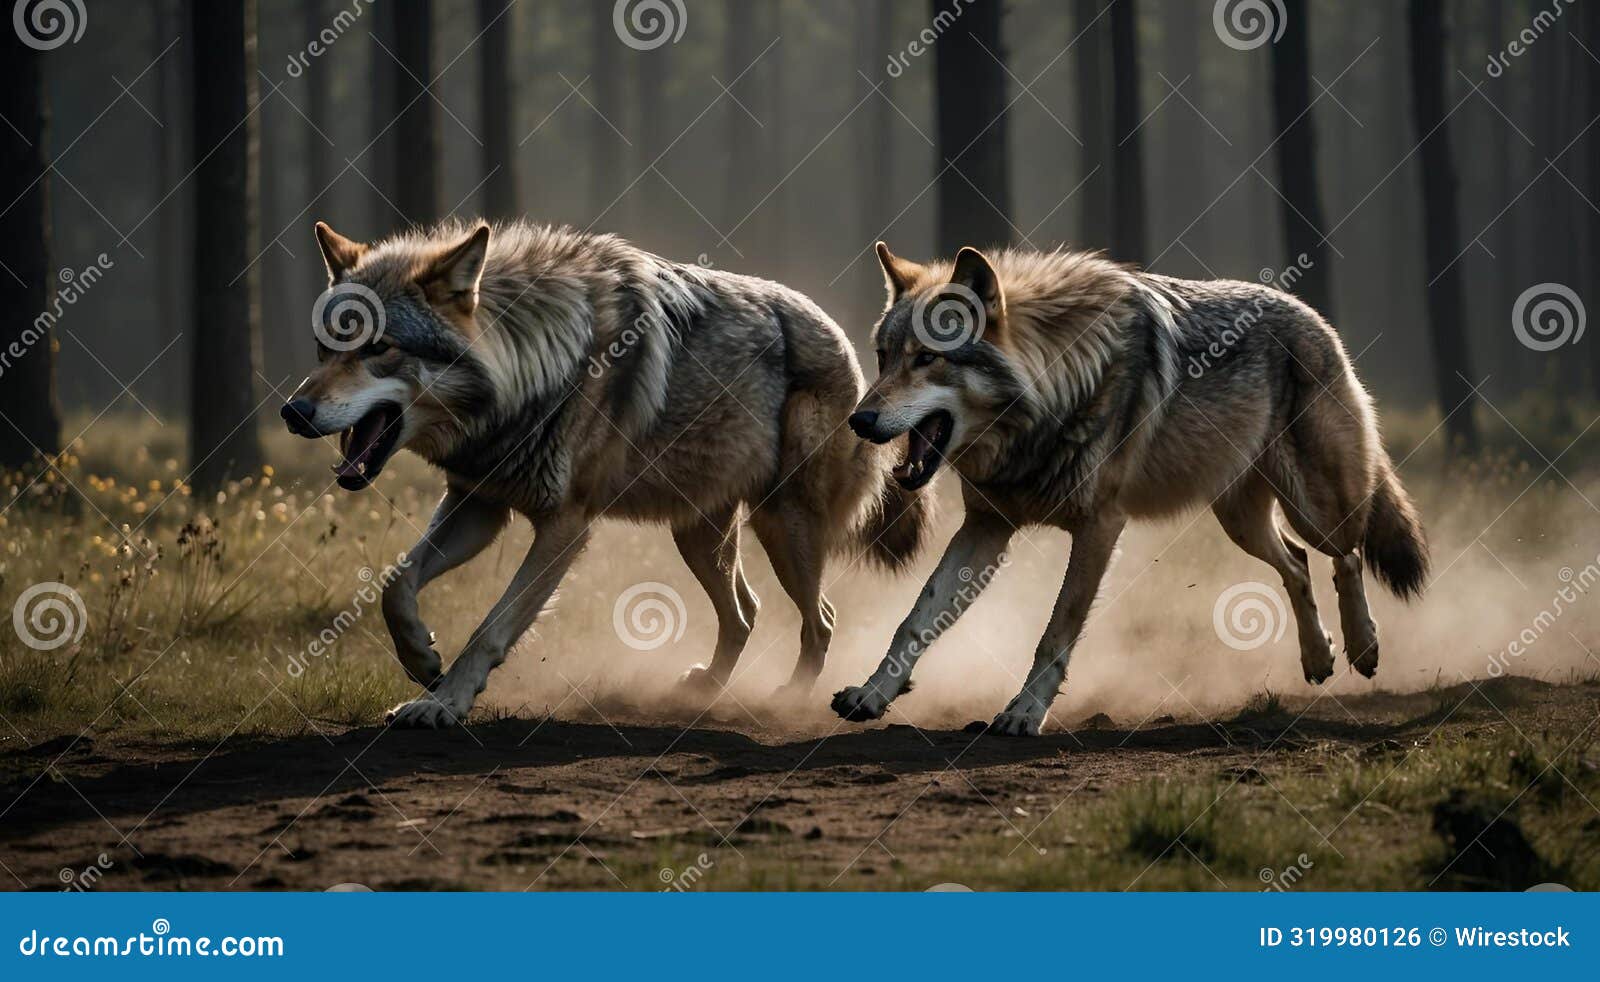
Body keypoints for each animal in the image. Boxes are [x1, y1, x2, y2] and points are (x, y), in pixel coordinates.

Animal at [281, 220, 930, 727]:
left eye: (379, 348)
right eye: (322, 348)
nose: (293, 411)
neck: (535, 365)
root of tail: (851, 344)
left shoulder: (565, 526)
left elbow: (491, 627)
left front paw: (444, 704)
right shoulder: (478, 506)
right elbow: (396, 585)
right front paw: (421, 661)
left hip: (782, 529)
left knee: (821, 621)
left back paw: (786, 700)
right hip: (698, 536)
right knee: (746, 613)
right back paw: (703, 689)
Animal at [833, 242, 1428, 736]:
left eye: (926, 358)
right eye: (884, 356)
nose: (859, 420)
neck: (1055, 394)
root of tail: (1315, 317)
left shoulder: (1099, 526)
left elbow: (1057, 631)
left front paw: (1024, 714)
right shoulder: (988, 525)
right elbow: (915, 619)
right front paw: (872, 694)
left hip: (1313, 507)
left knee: (1346, 555)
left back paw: (1364, 648)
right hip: (1240, 523)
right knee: (1299, 563)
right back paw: (1319, 658)